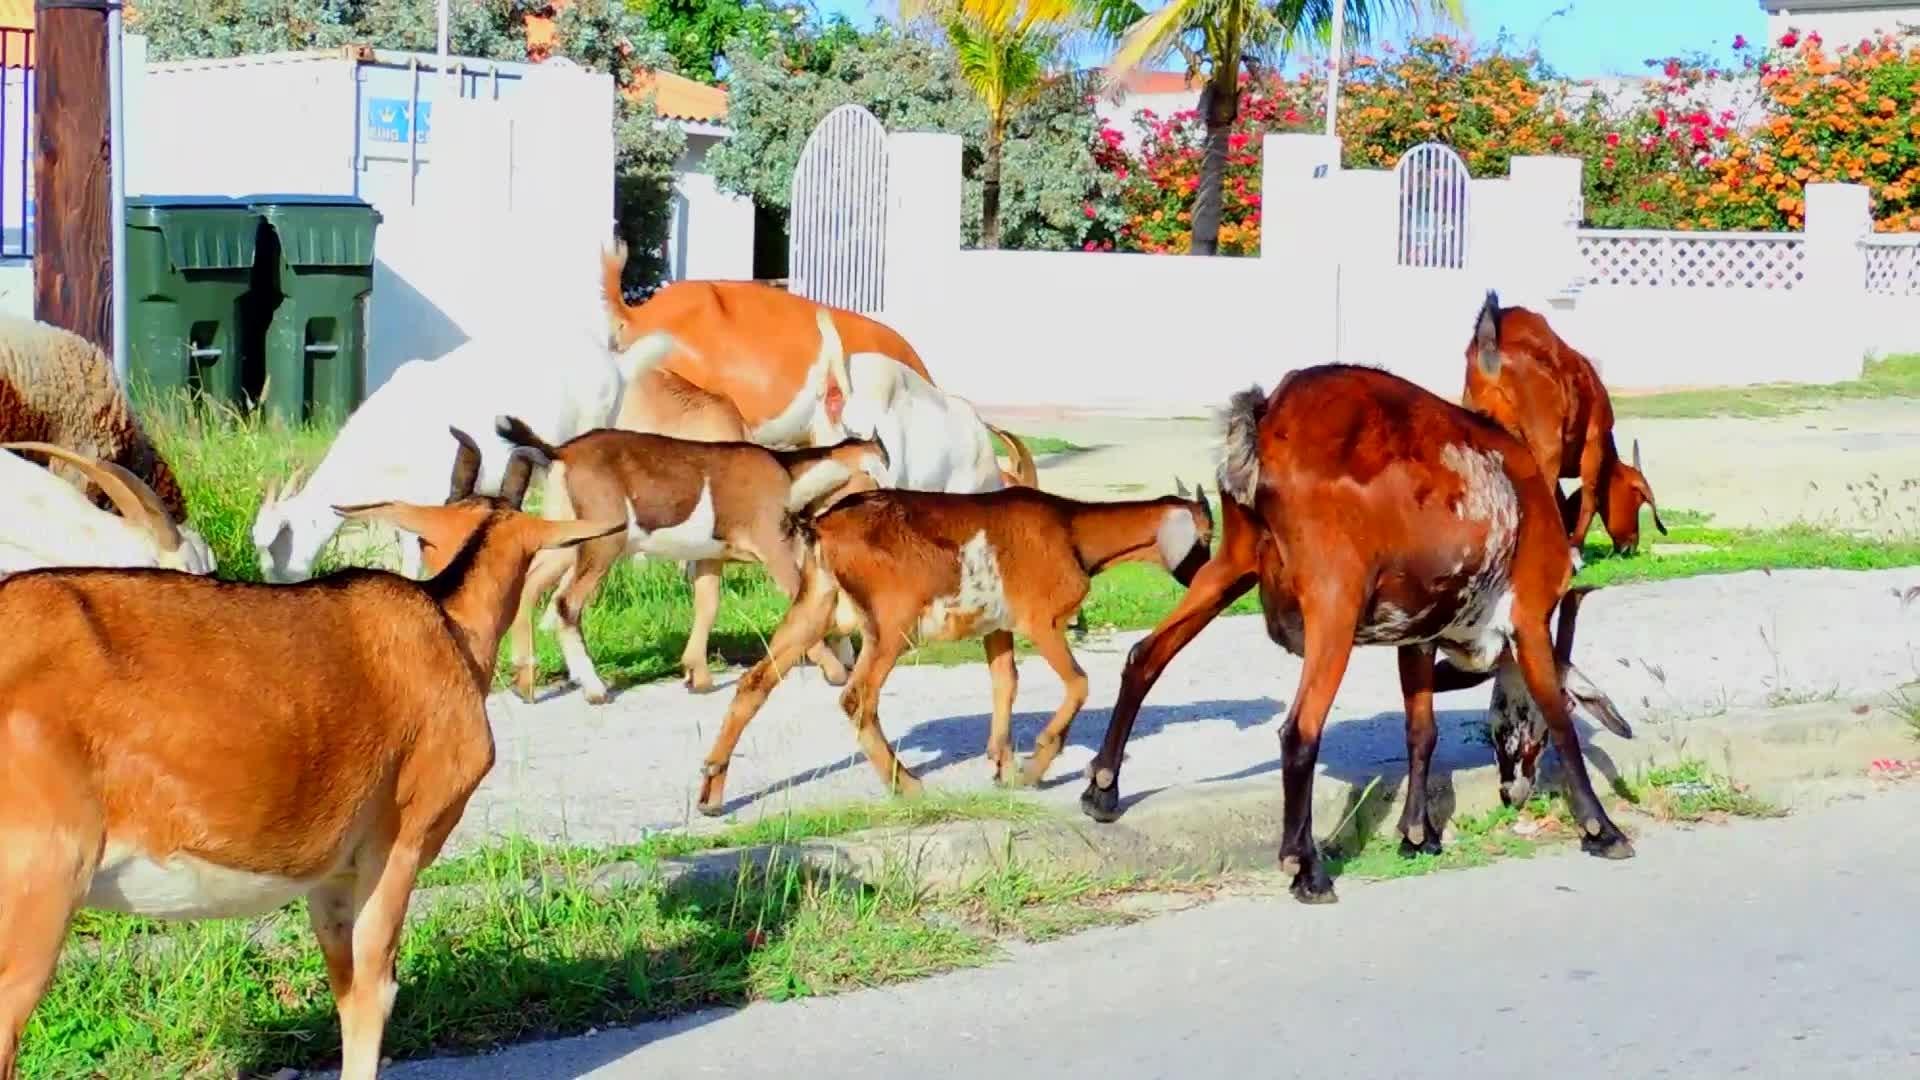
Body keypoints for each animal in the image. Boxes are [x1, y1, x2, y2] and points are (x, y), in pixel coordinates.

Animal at [495, 414, 890, 705]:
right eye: (872, 474)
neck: (788, 475)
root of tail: (560, 452)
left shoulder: (710, 555)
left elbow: (707, 604)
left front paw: (697, 676)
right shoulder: (772, 543)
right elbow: (800, 597)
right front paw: (835, 671)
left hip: (565, 535)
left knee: (530, 582)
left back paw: (524, 681)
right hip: (604, 540)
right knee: (566, 603)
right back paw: (594, 689)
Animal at [692, 481, 1215, 815]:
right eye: (1207, 536)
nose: (1205, 577)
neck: (1072, 529)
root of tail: (821, 525)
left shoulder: (997, 626)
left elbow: (1006, 681)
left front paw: (1002, 765)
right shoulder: (1041, 620)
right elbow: (1079, 683)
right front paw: (1034, 766)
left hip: (815, 606)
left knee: (754, 682)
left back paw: (712, 790)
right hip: (891, 623)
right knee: (857, 697)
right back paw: (906, 784)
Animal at [1077, 364, 1635, 905]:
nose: (1514, 793)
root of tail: (1269, 414)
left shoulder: (1417, 634)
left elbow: (1422, 730)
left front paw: (1418, 834)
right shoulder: (1530, 617)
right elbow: (1559, 719)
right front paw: (1602, 830)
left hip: (1233, 561)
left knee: (1147, 654)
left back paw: (1102, 790)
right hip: (1334, 598)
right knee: (1299, 728)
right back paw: (1307, 871)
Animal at [1465, 291, 1667, 554]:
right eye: (1637, 501)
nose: (1630, 546)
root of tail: (1491, 341)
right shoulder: (1594, 441)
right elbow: (1590, 497)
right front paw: (1576, 546)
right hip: (1546, 444)